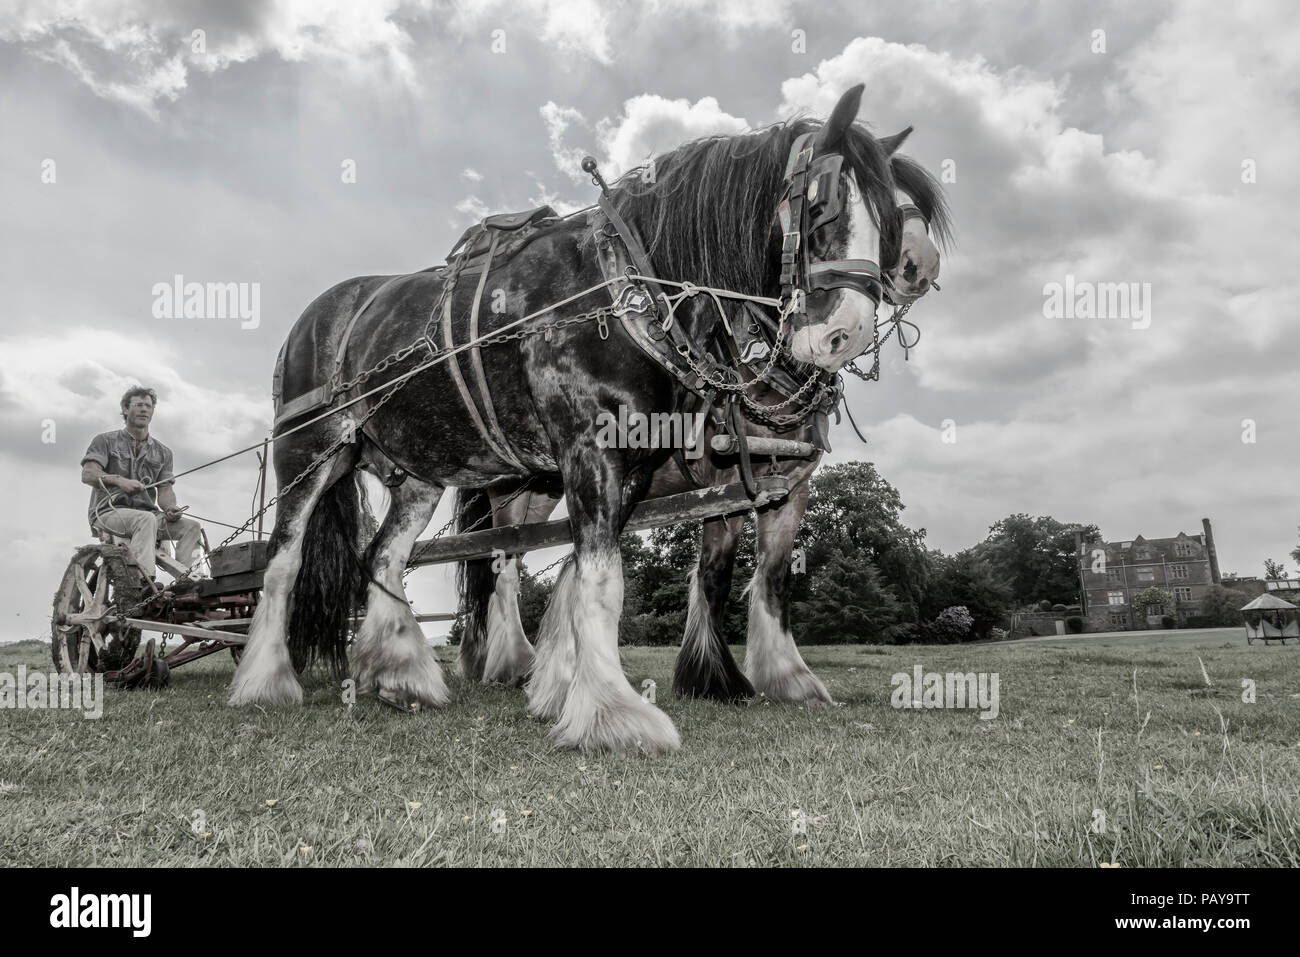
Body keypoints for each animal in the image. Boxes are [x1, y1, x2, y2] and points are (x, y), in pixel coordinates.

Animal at [454, 154, 951, 710]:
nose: (921, 264)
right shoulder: (725, 483)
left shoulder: (790, 484)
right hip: (516, 487)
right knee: (501, 562)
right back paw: (510, 662)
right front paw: (713, 678)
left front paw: (788, 677)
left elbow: (774, 574)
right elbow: (714, 573)